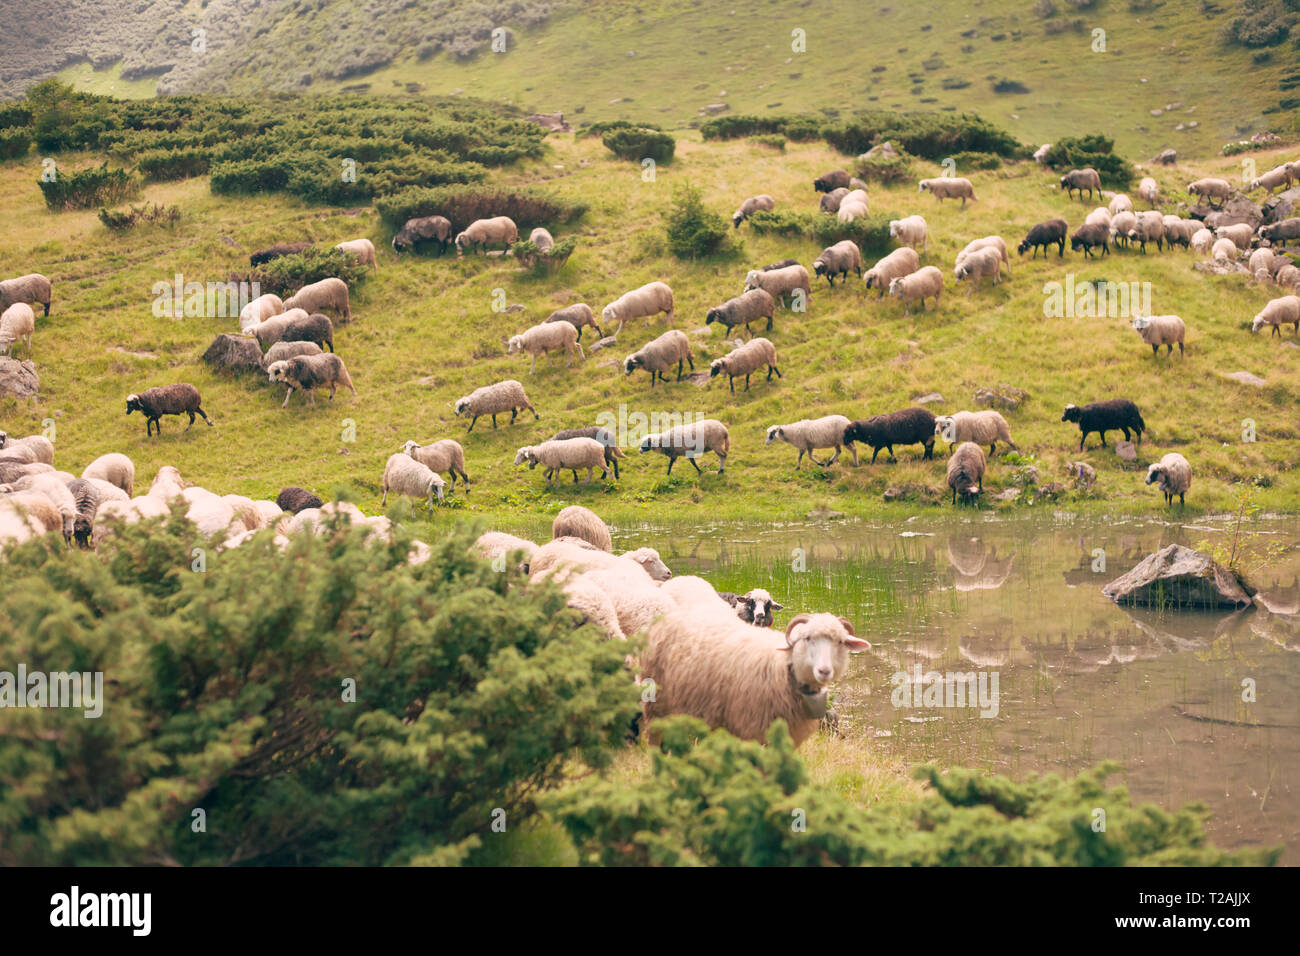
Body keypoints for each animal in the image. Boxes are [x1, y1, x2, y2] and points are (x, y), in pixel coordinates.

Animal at [640, 611, 869, 747]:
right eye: (808, 638)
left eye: (840, 642)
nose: (824, 671)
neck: (782, 666)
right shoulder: (751, 727)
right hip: (656, 702)